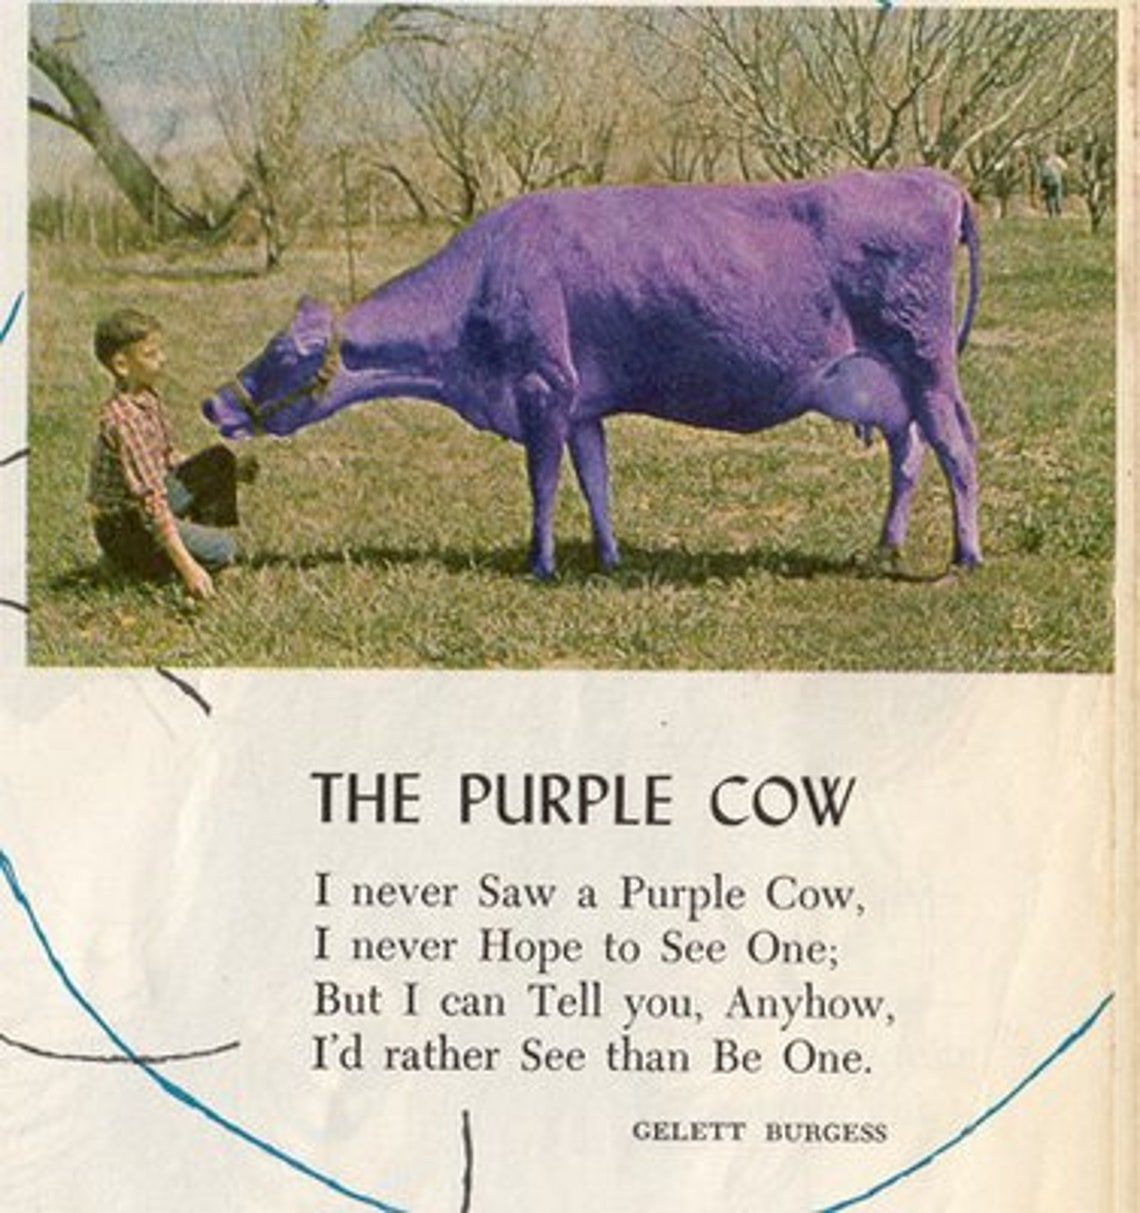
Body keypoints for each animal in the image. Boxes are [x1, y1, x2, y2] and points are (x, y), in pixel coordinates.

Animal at [203, 169, 981, 580]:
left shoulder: (542, 390)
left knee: (957, 449)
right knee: (909, 451)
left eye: (283, 352)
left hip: (926, 364)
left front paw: (540, 563)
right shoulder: (582, 407)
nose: (214, 403)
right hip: (888, 384)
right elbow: (595, 480)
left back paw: (965, 554)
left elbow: (544, 482)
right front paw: (608, 557)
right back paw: (888, 542)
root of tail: (937, 181)